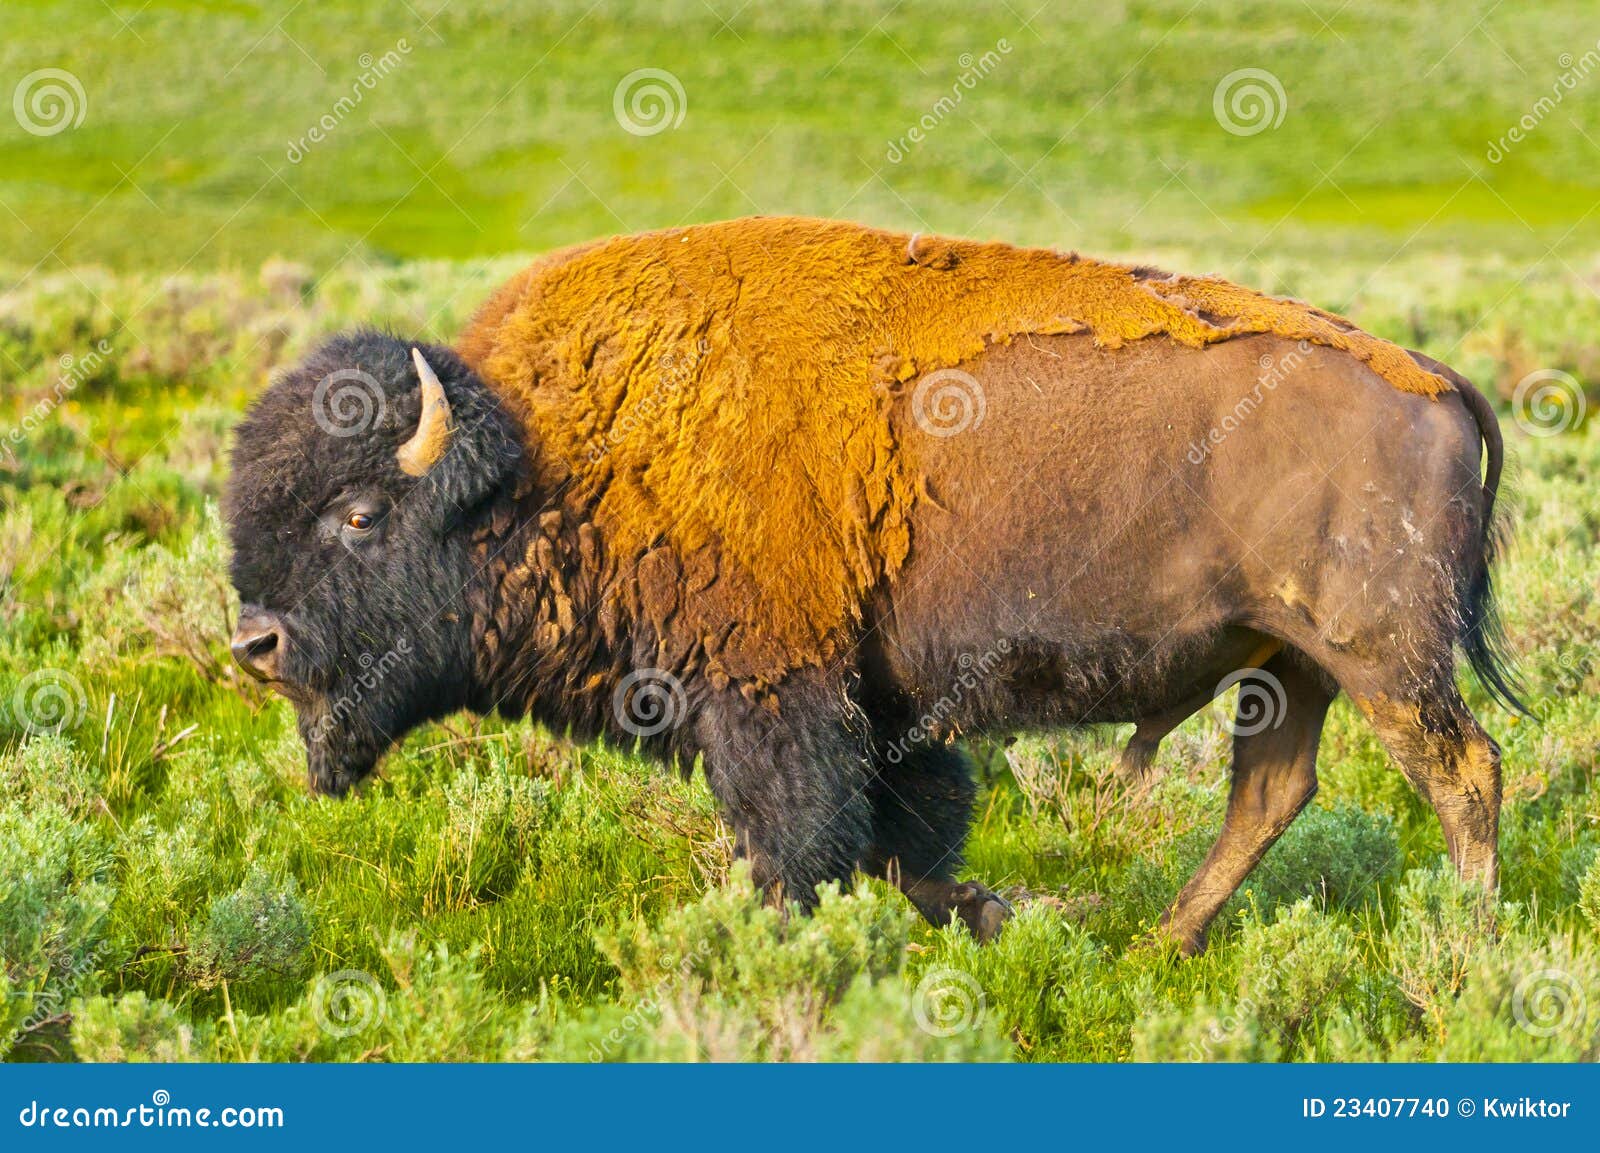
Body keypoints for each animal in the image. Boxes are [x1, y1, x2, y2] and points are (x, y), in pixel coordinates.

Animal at [225, 217, 1523, 952]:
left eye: (358, 516)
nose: (255, 646)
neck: (552, 460)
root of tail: (1429, 371)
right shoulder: (880, 712)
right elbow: (903, 839)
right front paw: (995, 915)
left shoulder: (771, 699)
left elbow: (805, 843)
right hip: (1285, 664)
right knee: (1273, 791)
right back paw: (1161, 944)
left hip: (1377, 658)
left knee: (1461, 771)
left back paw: (1467, 944)